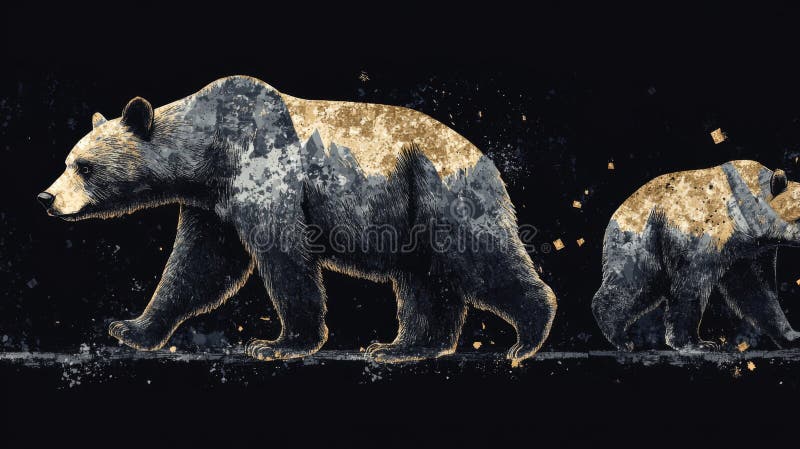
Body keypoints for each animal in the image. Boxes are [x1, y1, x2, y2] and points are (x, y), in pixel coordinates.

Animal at [38, 75, 557, 363]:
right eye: (67, 160)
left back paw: (527, 336)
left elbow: (282, 253)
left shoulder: (264, 165)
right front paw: (131, 328)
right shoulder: (212, 204)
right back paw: (404, 347)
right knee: (423, 279)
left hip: (439, 191)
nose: (47, 197)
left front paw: (278, 342)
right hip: (410, 208)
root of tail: (485, 159)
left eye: (84, 167)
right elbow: (198, 266)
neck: (207, 152)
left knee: (477, 257)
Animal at [592, 160, 800, 351]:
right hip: (644, 237)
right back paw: (620, 337)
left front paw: (790, 335)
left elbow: (757, 290)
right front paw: (697, 343)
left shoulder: (750, 251)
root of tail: (617, 213)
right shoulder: (703, 235)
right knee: (635, 280)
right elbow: (691, 285)